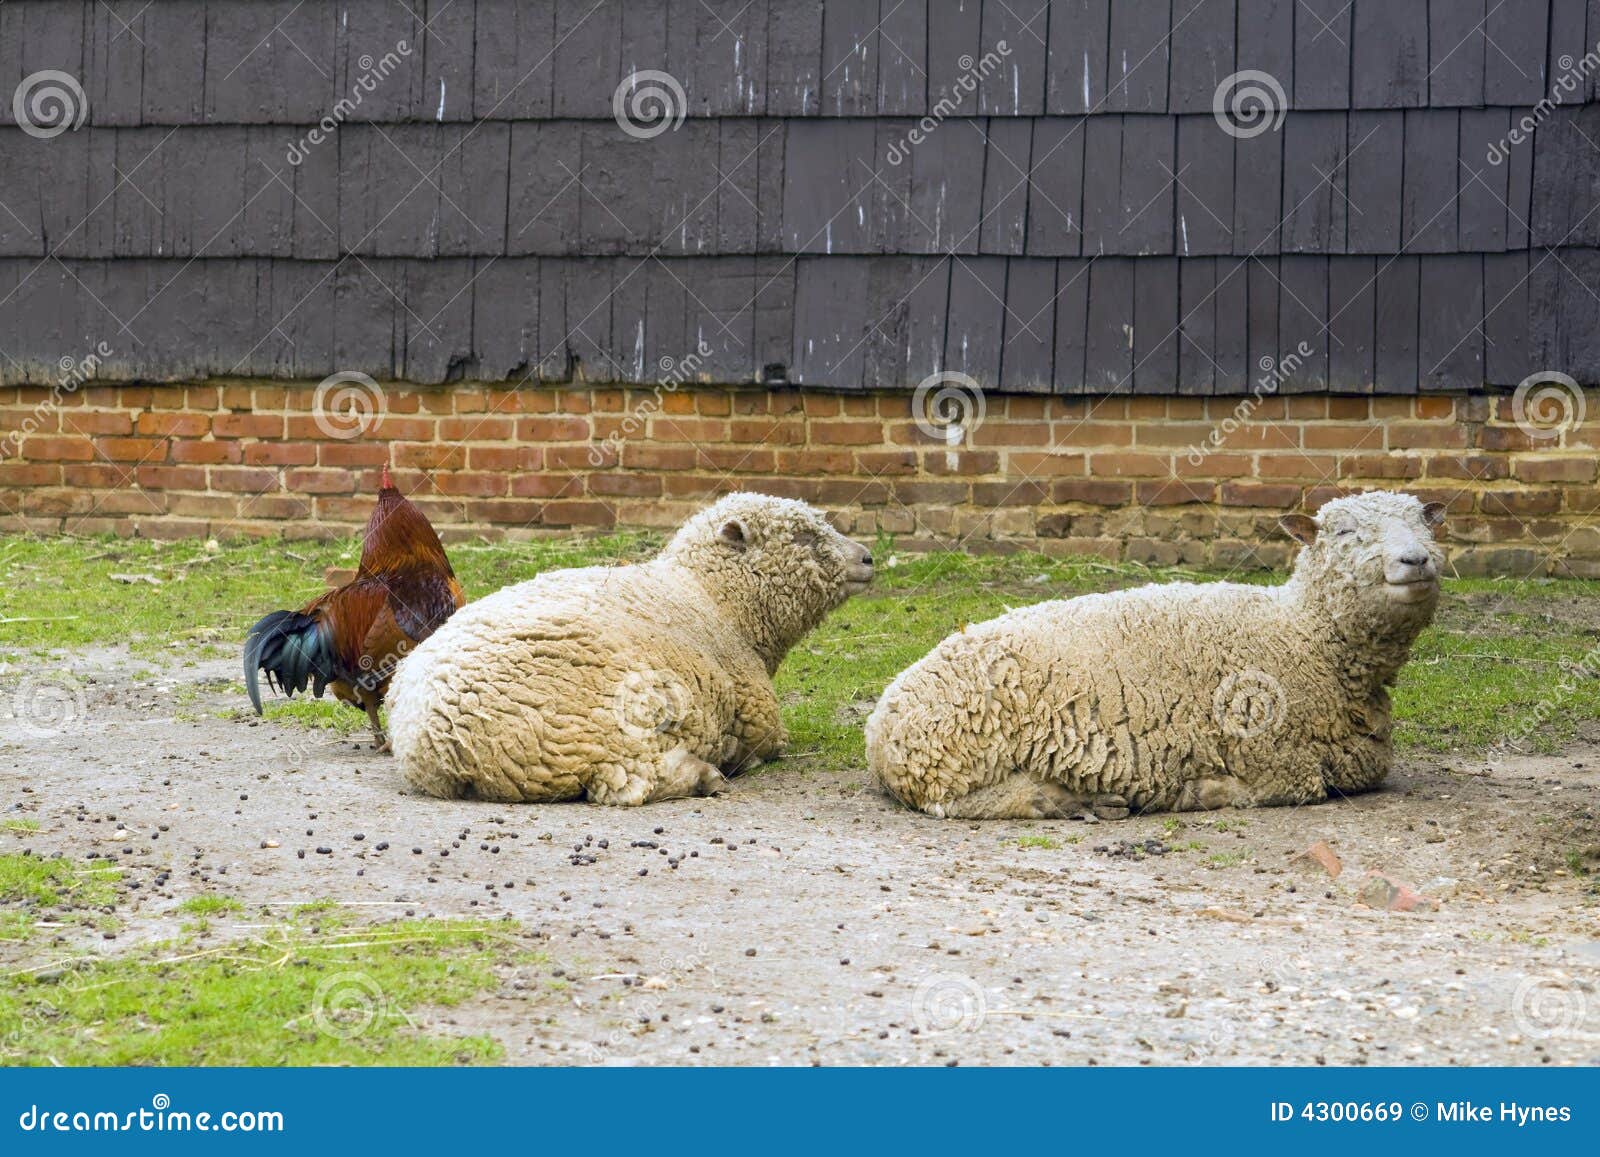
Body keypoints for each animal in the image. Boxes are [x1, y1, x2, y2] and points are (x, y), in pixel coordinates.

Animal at [386, 493, 875, 806]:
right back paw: (705, 774)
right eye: (802, 537)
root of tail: (434, 745)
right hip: (602, 727)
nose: (868, 558)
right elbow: (764, 747)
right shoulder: (759, 719)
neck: (714, 598)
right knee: (626, 785)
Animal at [866, 491, 1447, 820]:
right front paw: (1202, 791)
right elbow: (1300, 785)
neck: (1302, 632)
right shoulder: (1271, 751)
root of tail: (880, 721)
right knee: (961, 804)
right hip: (952, 759)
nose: (1416, 559)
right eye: (1345, 531)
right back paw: (1067, 802)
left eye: (1426, 523)